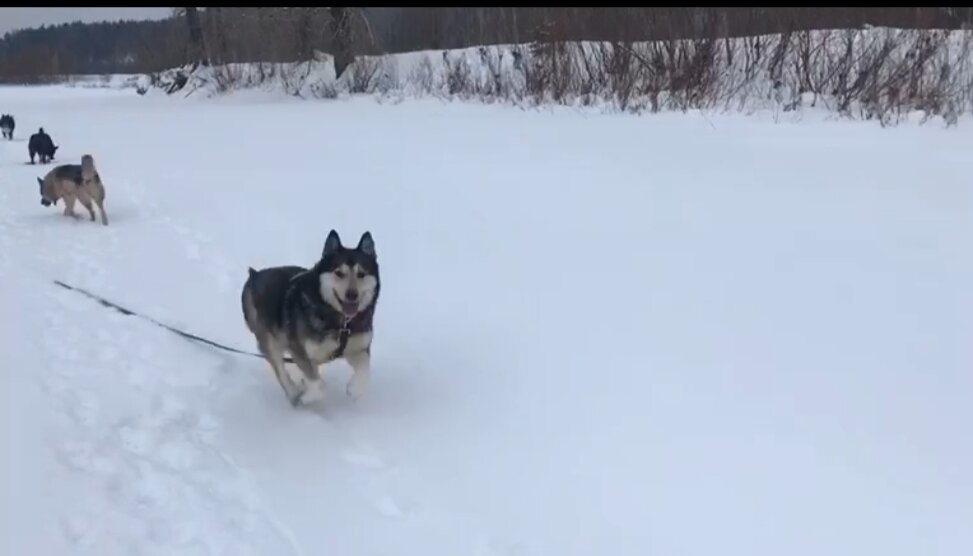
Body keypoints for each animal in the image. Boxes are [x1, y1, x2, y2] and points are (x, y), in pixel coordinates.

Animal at [241, 228, 382, 406]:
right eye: (339, 273)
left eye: (361, 274)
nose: (352, 294)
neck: (341, 323)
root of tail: (255, 275)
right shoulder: (299, 350)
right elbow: (318, 385)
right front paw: (307, 397)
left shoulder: (359, 347)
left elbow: (365, 371)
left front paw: (354, 389)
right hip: (267, 338)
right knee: (279, 369)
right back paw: (294, 393)